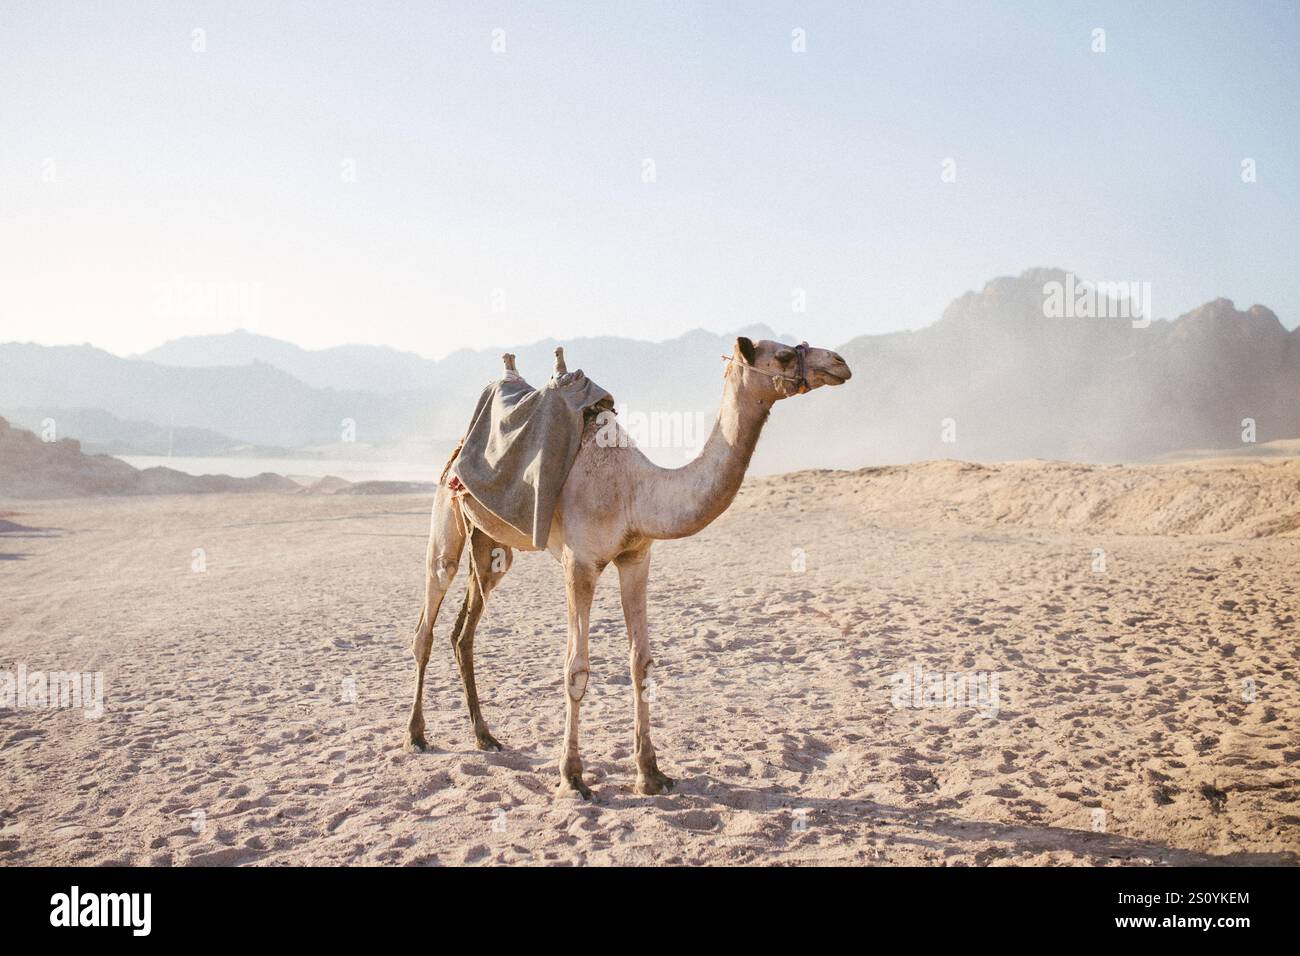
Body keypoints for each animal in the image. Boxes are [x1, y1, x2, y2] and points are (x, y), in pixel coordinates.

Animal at [405, 336, 852, 799]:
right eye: (782, 354)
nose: (839, 363)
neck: (635, 491)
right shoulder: (579, 564)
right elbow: (576, 668)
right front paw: (572, 777)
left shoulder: (637, 556)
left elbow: (642, 661)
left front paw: (650, 772)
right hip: (446, 520)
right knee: (428, 619)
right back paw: (417, 735)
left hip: (492, 547)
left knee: (464, 632)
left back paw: (485, 735)